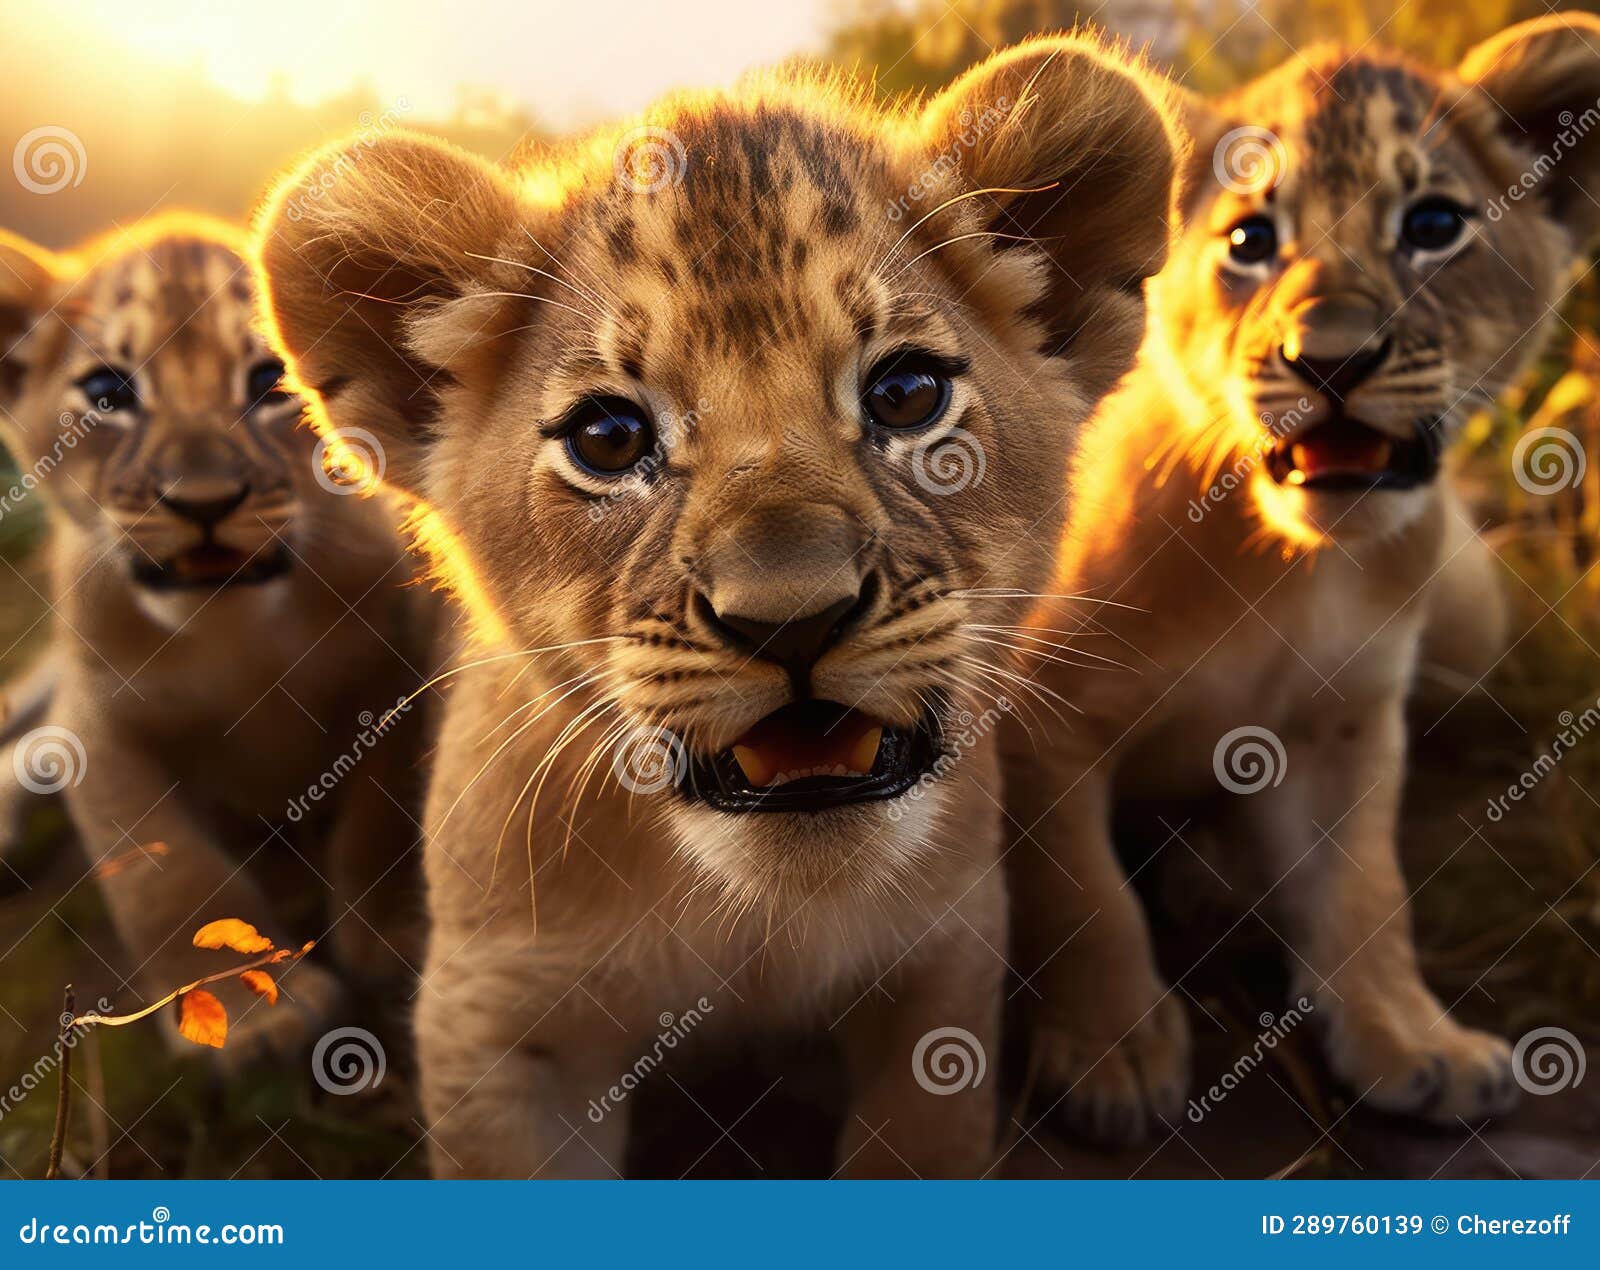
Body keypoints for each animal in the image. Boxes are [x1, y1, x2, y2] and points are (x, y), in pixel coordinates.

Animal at [0, 214, 434, 1059]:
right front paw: (250, 1018)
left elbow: (381, 816)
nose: (202, 501)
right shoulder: (94, 729)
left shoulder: (401, 669)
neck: (236, 639)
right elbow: (168, 871)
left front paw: (396, 940)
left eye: (271, 383)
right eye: (107, 394)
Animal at [256, 35, 1179, 1176]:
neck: (752, 921)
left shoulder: (944, 961)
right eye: (608, 439)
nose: (791, 617)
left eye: (906, 395)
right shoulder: (495, 1025)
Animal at [1006, 13, 1600, 1144]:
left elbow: (1365, 891)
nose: (1328, 356)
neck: (1289, 569)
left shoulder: (1346, 720)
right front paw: (1113, 1058)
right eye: (1248, 242)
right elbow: (1082, 894)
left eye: (1434, 224)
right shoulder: (1039, 716)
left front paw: (1413, 1043)